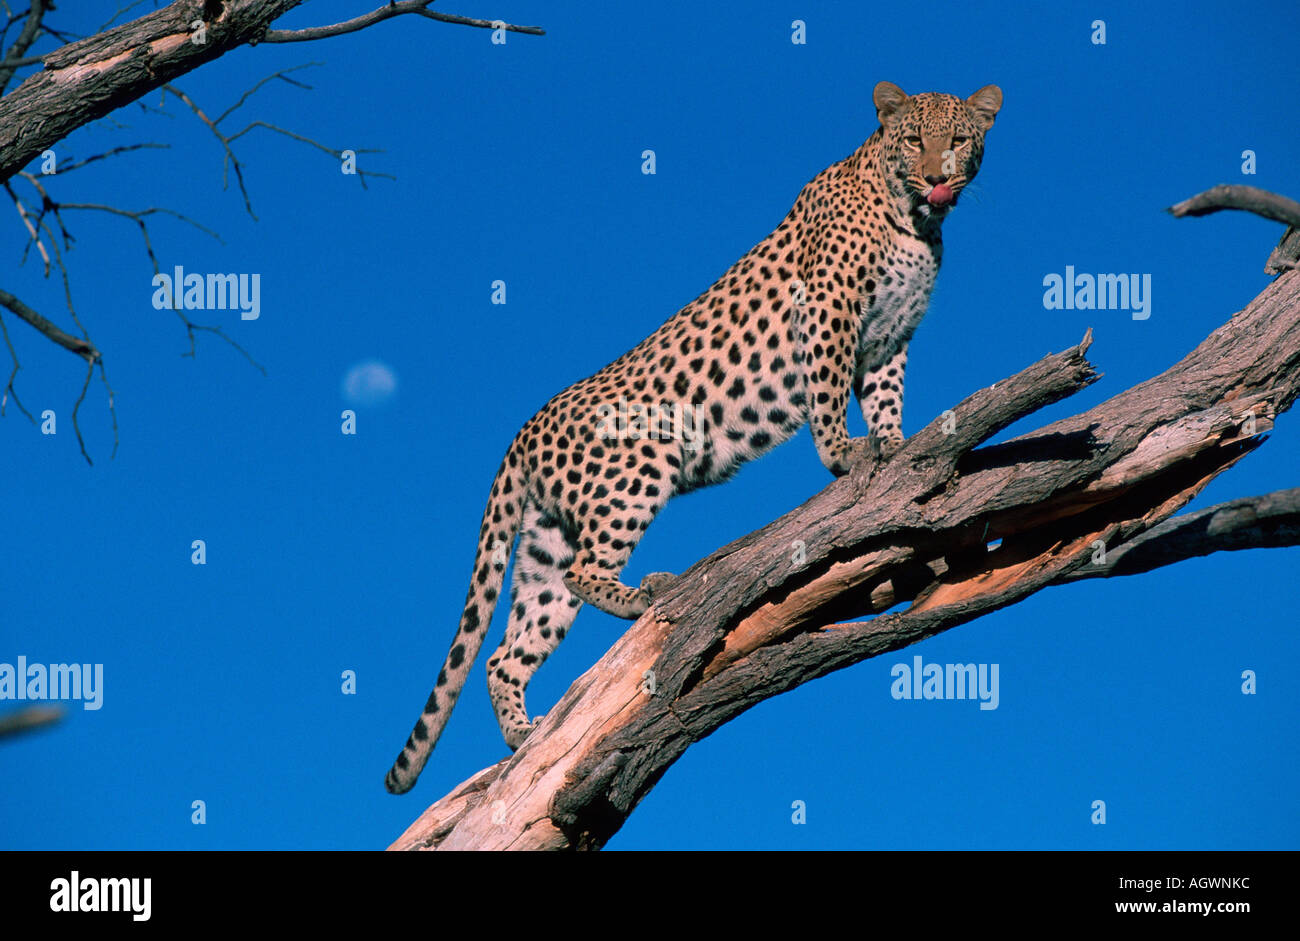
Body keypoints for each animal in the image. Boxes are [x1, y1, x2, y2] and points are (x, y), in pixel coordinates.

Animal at [385, 81, 1002, 794]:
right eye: (914, 140)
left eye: (958, 140)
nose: (936, 177)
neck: (916, 220)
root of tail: (524, 429)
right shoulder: (828, 308)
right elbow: (826, 390)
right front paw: (845, 456)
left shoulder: (890, 336)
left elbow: (886, 398)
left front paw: (896, 445)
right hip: (636, 470)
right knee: (585, 570)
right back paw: (648, 595)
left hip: (544, 538)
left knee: (511, 646)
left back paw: (525, 741)